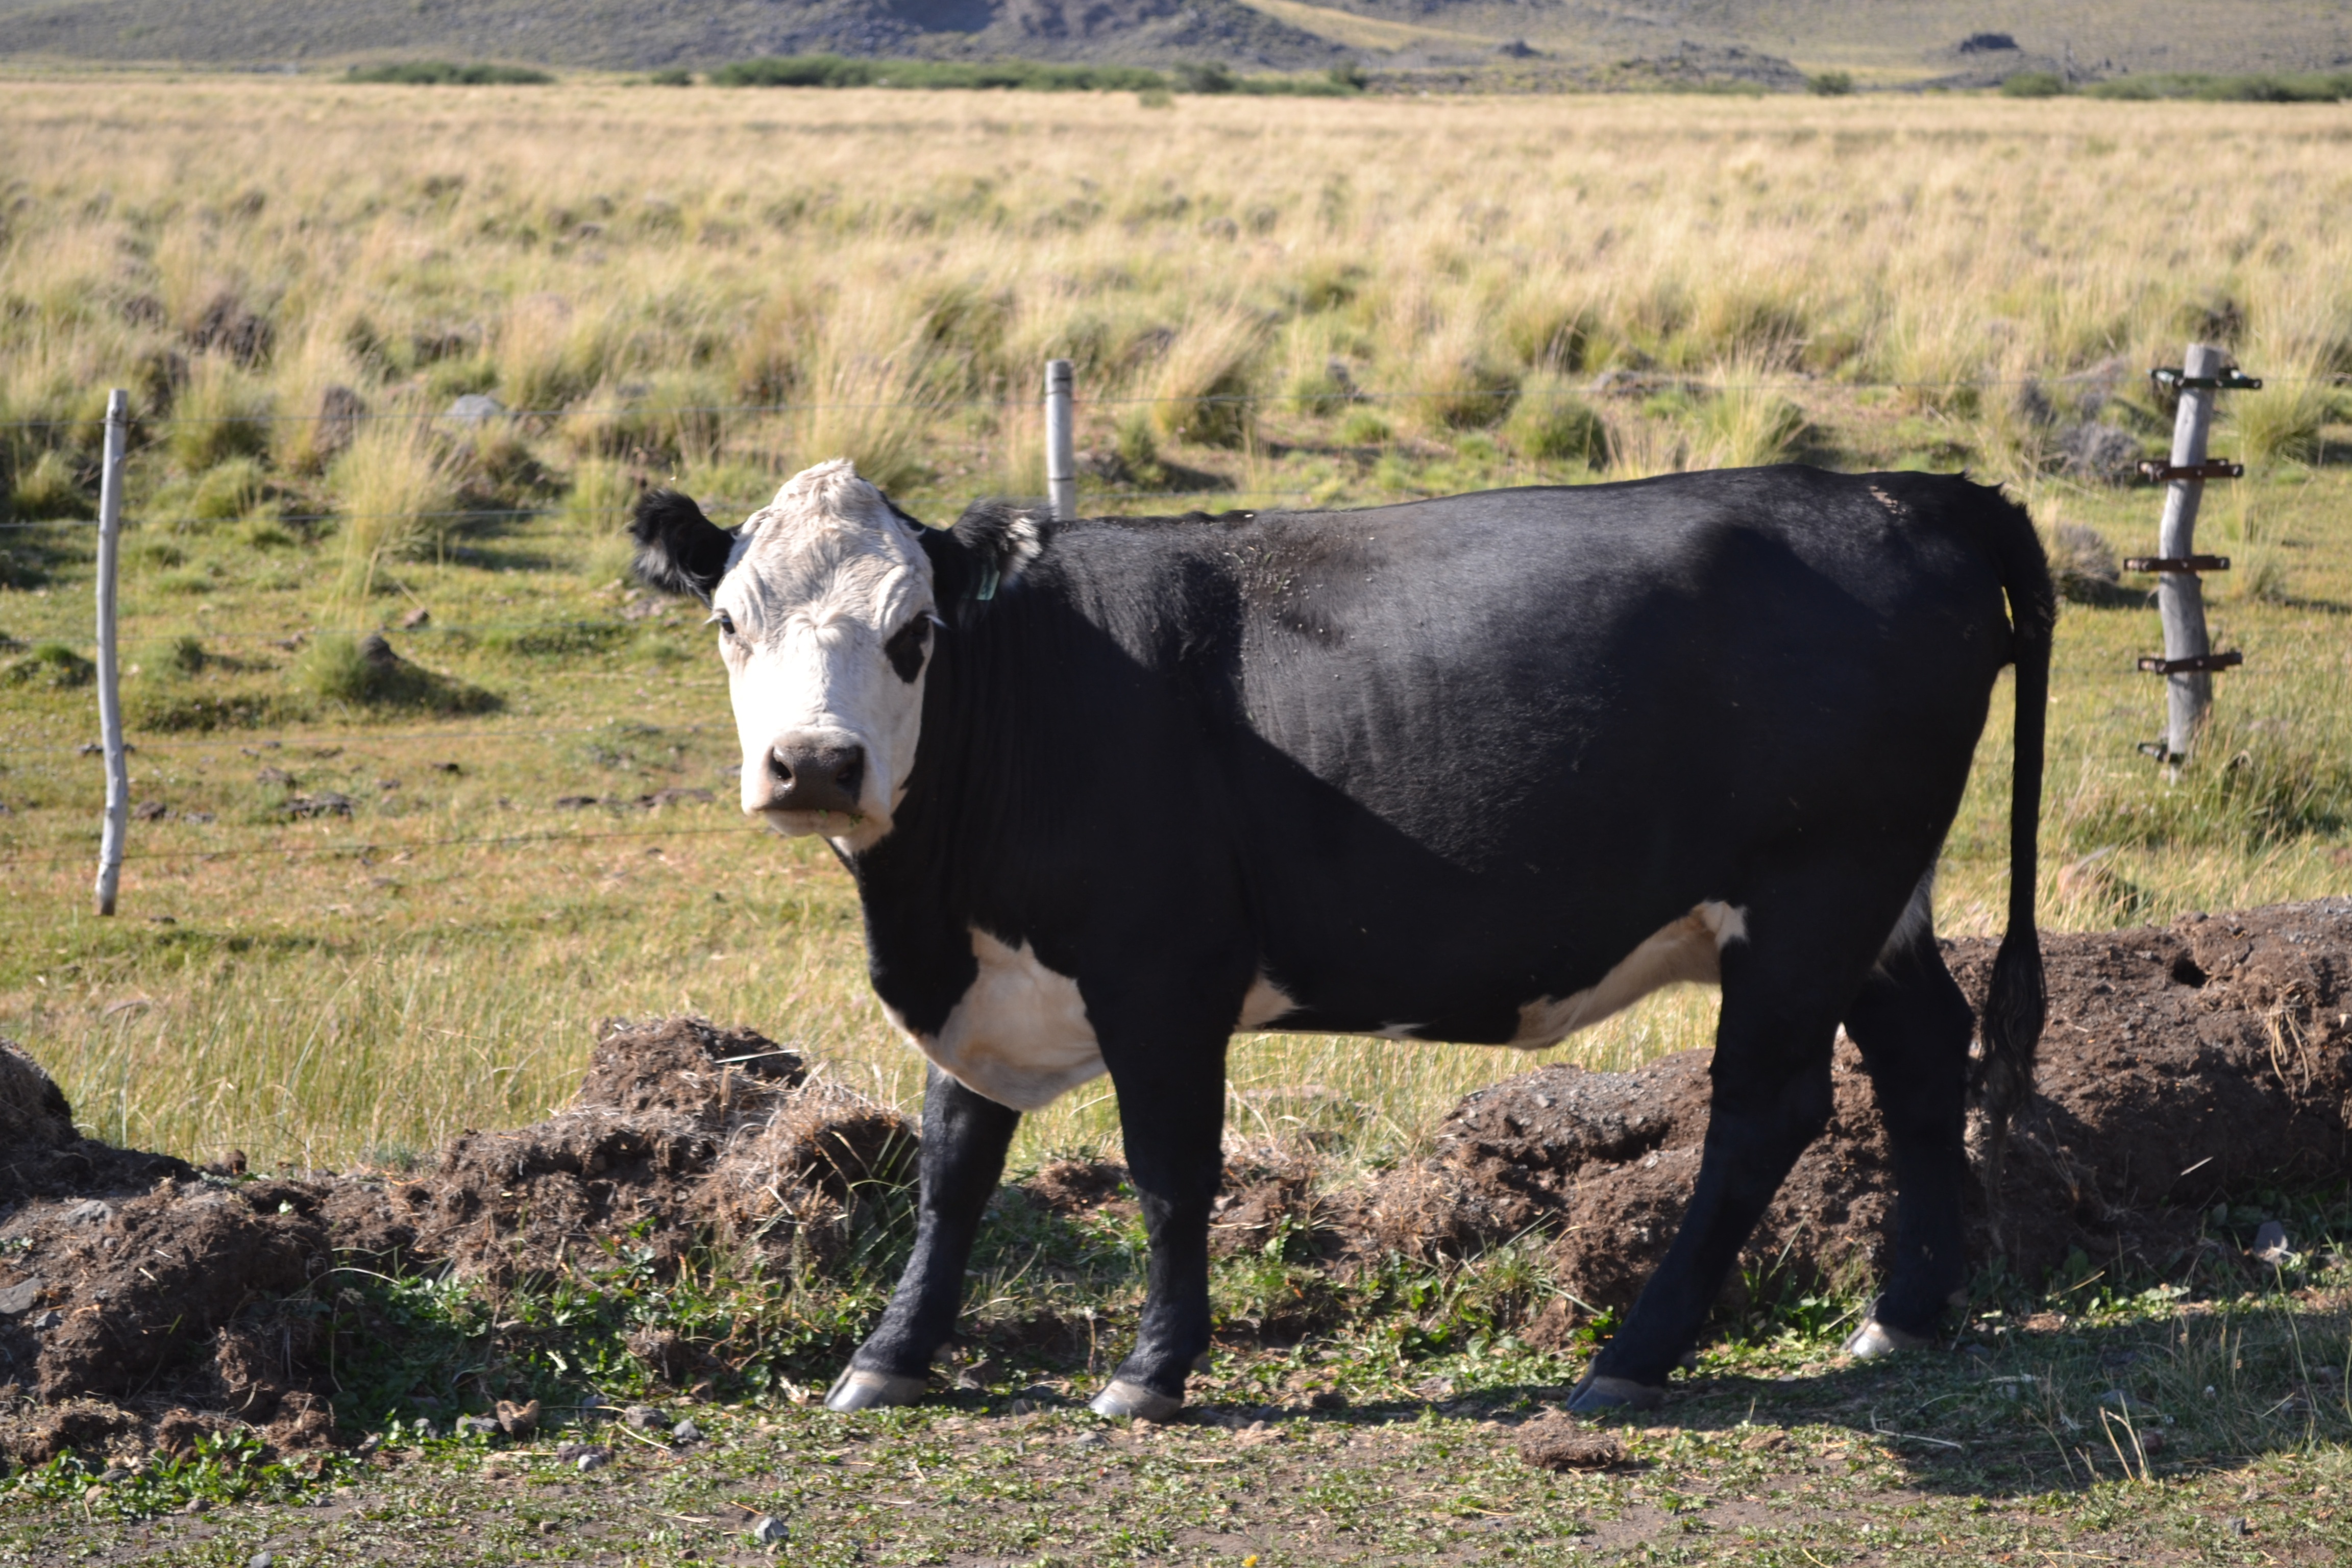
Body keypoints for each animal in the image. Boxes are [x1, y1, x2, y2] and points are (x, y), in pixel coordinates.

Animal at [630, 458, 2051, 1418]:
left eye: (913, 632)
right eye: (729, 622)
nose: (815, 763)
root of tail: (1909, 489)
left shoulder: (1161, 976)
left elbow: (1168, 1173)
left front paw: (1154, 1369)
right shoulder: (990, 978)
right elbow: (955, 1167)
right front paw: (891, 1354)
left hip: (1811, 899)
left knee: (1765, 1112)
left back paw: (1632, 1355)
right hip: (1876, 907)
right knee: (1924, 1054)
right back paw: (1906, 1312)